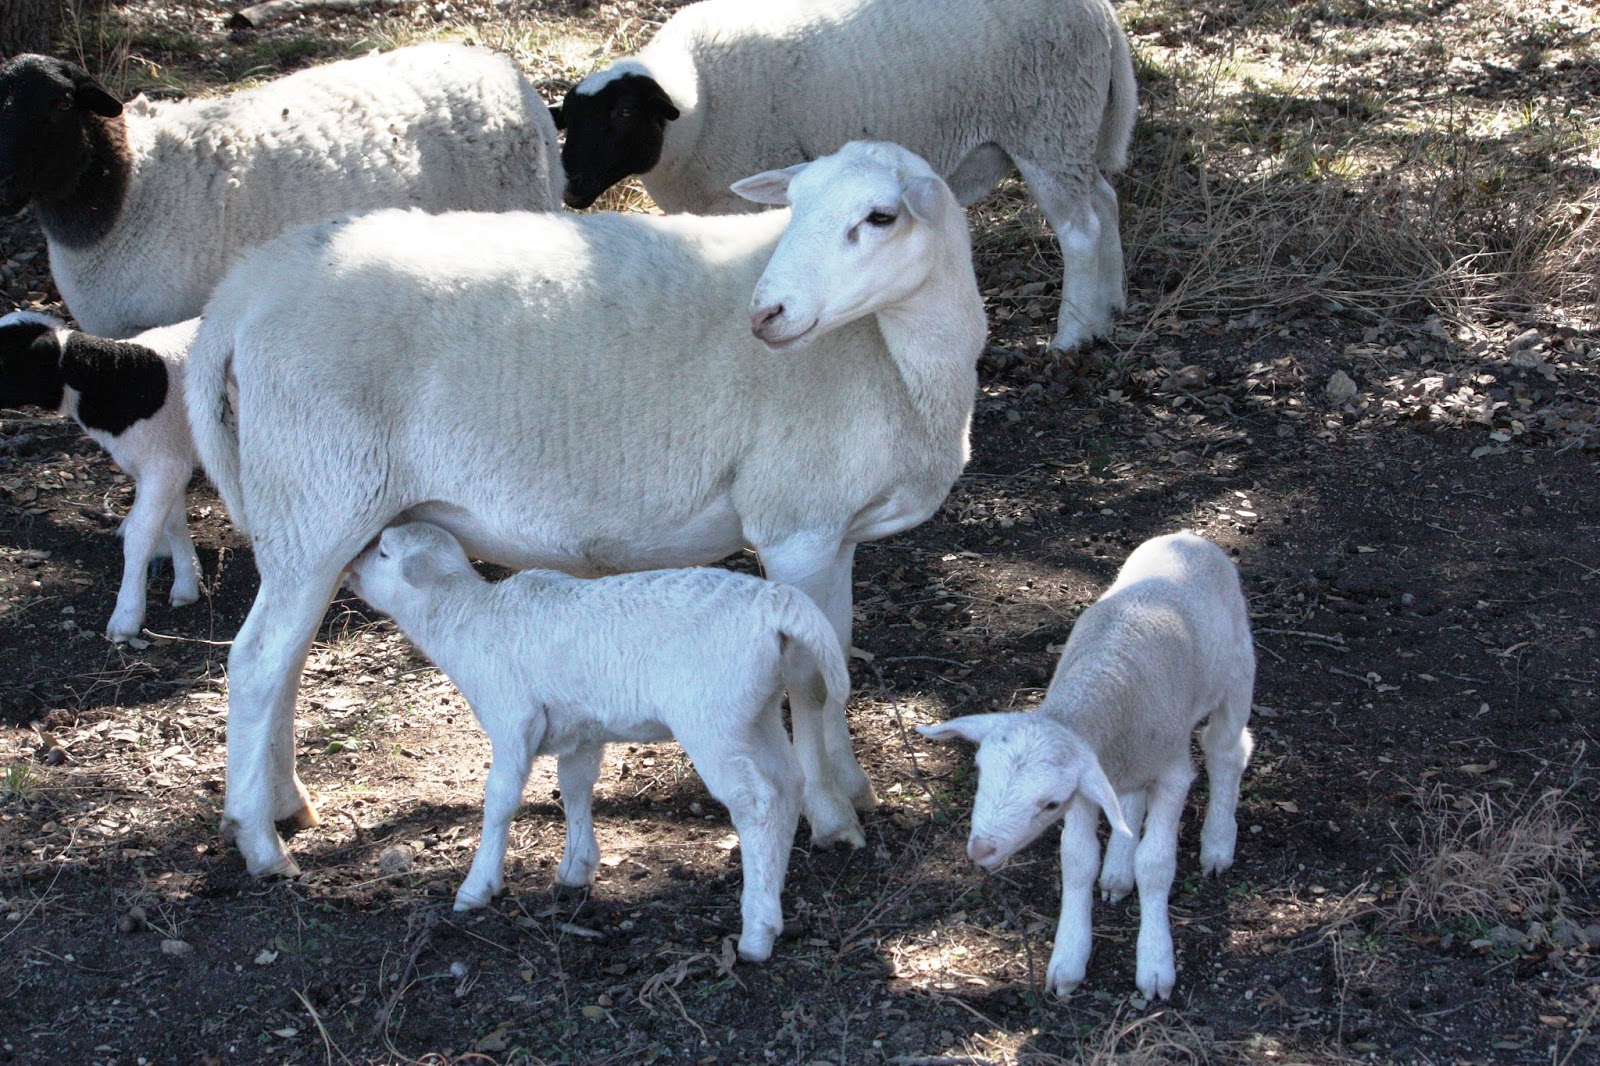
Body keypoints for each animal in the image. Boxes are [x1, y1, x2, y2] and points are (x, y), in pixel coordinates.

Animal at [0, 310, 199, 641]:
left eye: (5, 358)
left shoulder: (163, 467)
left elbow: (139, 536)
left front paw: (126, 617)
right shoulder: (169, 462)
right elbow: (173, 524)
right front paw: (187, 584)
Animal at [185, 139, 987, 880]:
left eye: (881, 217)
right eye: (795, 207)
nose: (767, 314)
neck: (900, 358)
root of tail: (245, 286)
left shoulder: (836, 527)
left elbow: (836, 647)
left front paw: (856, 787)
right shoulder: (797, 523)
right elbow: (813, 682)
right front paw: (832, 818)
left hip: (314, 506)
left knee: (286, 660)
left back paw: (285, 804)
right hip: (317, 489)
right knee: (257, 662)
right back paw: (260, 842)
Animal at [345, 521, 851, 961]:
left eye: (384, 552)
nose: (350, 570)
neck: (465, 620)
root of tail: (773, 601)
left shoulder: (512, 716)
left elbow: (500, 800)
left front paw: (477, 887)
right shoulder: (580, 730)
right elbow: (575, 786)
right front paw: (576, 868)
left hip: (711, 719)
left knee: (756, 801)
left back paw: (757, 930)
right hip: (753, 711)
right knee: (788, 784)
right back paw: (773, 892)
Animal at [554, 0, 1136, 352]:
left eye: (623, 112)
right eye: (568, 121)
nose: (572, 187)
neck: (697, 104)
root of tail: (1103, 15)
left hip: (1046, 119)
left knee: (1080, 230)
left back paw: (1072, 332)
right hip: (1066, 129)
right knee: (1104, 201)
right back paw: (1109, 308)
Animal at [918, 531, 1256, 1000]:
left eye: (1048, 803)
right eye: (982, 773)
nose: (980, 851)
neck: (1104, 679)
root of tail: (1186, 537)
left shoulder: (1170, 775)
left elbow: (1155, 865)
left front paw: (1155, 963)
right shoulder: (1085, 784)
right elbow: (1077, 861)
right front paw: (1068, 959)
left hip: (1237, 670)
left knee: (1226, 751)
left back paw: (1218, 845)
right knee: (1130, 797)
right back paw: (1117, 872)